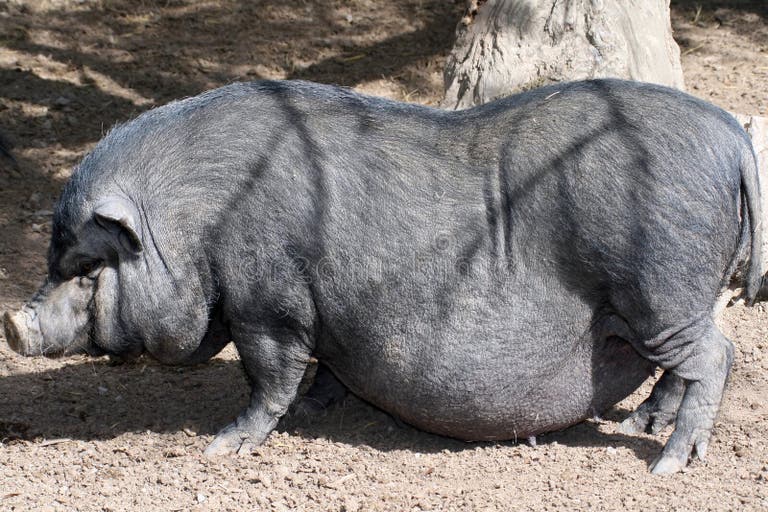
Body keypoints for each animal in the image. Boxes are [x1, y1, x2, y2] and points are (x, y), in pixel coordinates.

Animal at [3, 79, 762, 474]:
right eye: (57, 260)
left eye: (87, 268)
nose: (14, 322)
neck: (194, 224)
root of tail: (731, 135)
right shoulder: (325, 319)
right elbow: (325, 369)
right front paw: (315, 408)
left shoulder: (266, 304)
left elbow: (270, 374)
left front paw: (224, 445)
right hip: (672, 299)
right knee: (688, 361)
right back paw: (640, 420)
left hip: (661, 288)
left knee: (718, 354)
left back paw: (666, 463)